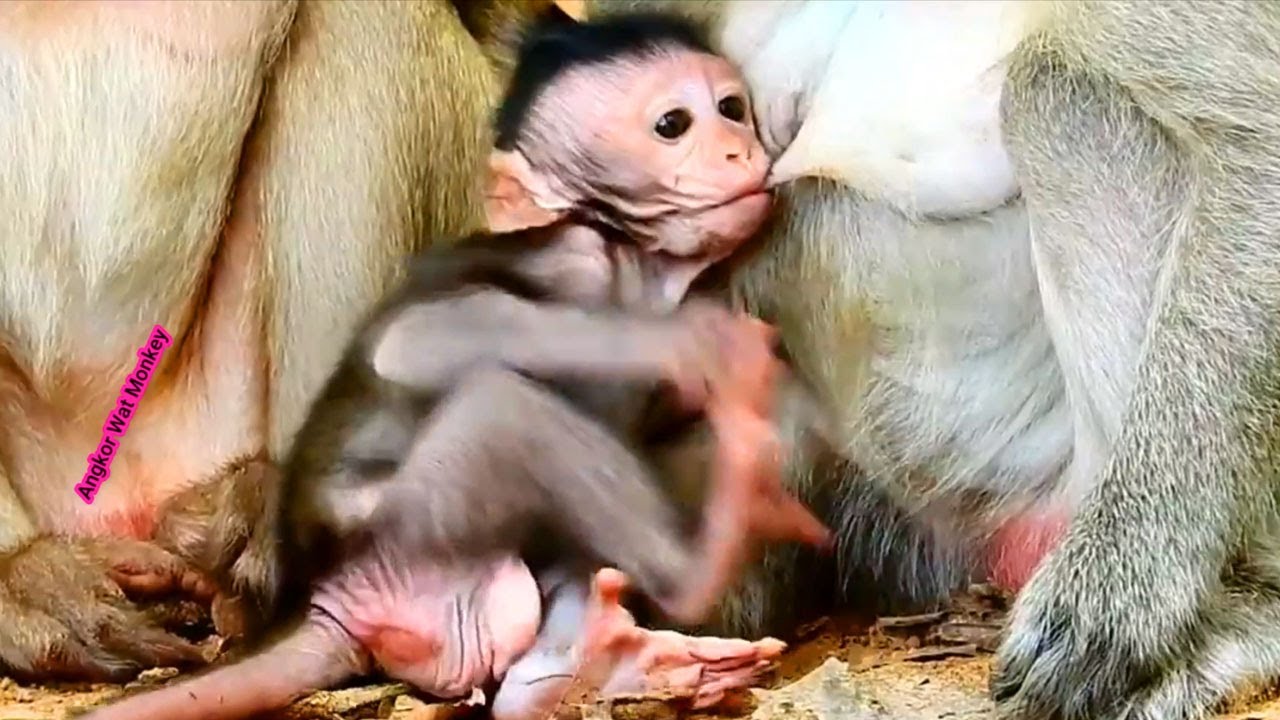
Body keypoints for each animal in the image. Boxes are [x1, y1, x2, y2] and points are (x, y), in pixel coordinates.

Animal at [79, 12, 832, 720]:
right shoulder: (575, 259)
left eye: (731, 107)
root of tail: (327, 600)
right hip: (409, 531)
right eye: (672, 124)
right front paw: (694, 346)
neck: (643, 267)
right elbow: (415, 339)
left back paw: (578, 671)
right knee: (505, 412)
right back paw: (703, 562)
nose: (739, 146)